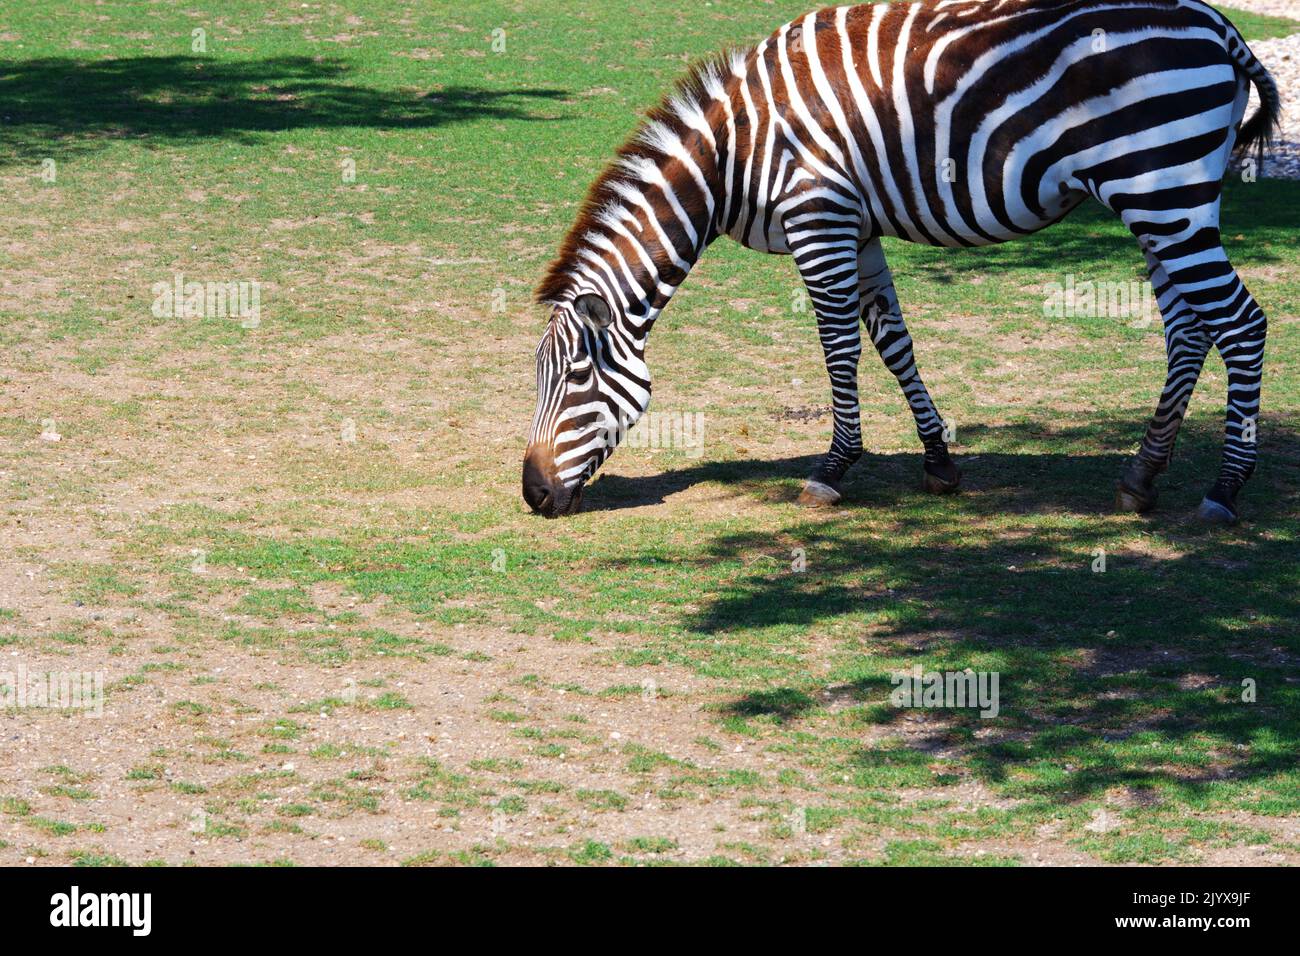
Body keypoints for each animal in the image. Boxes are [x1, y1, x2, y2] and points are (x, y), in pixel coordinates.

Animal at [523, 0, 1280, 521]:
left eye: (577, 376)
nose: (532, 494)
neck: (731, 154)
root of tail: (1219, 25)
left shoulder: (819, 216)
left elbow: (839, 347)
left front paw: (832, 468)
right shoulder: (855, 227)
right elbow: (893, 342)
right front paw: (939, 461)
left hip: (1162, 191)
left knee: (1241, 324)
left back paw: (1224, 490)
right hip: (1163, 200)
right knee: (1189, 328)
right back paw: (1142, 476)